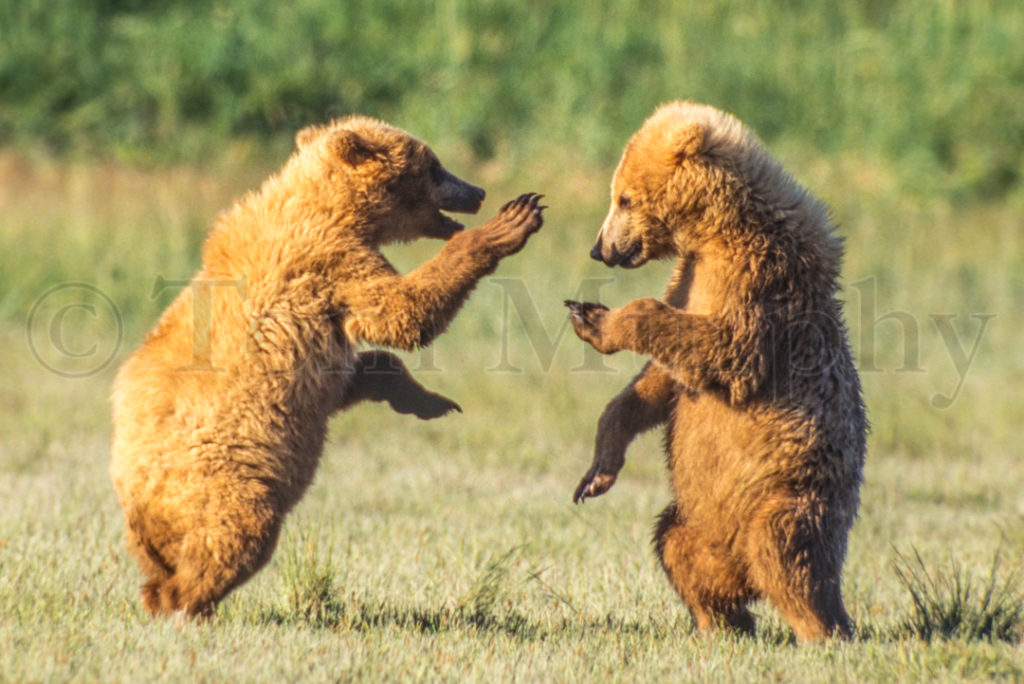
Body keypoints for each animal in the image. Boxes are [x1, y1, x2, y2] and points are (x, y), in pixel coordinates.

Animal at [110, 115, 546, 619]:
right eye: (434, 166)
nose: (476, 191)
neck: (338, 210)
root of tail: (136, 498)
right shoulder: (328, 261)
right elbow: (400, 312)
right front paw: (512, 222)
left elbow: (361, 368)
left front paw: (429, 400)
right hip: (223, 483)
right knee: (233, 540)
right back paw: (187, 604)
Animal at [565, 101, 866, 642]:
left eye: (623, 198)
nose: (600, 249)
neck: (720, 229)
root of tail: (743, 570)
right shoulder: (691, 274)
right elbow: (663, 380)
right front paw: (596, 473)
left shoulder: (760, 277)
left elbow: (726, 349)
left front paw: (597, 317)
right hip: (700, 518)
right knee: (675, 544)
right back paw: (719, 624)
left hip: (794, 494)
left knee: (788, 554)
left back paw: (822, 631)